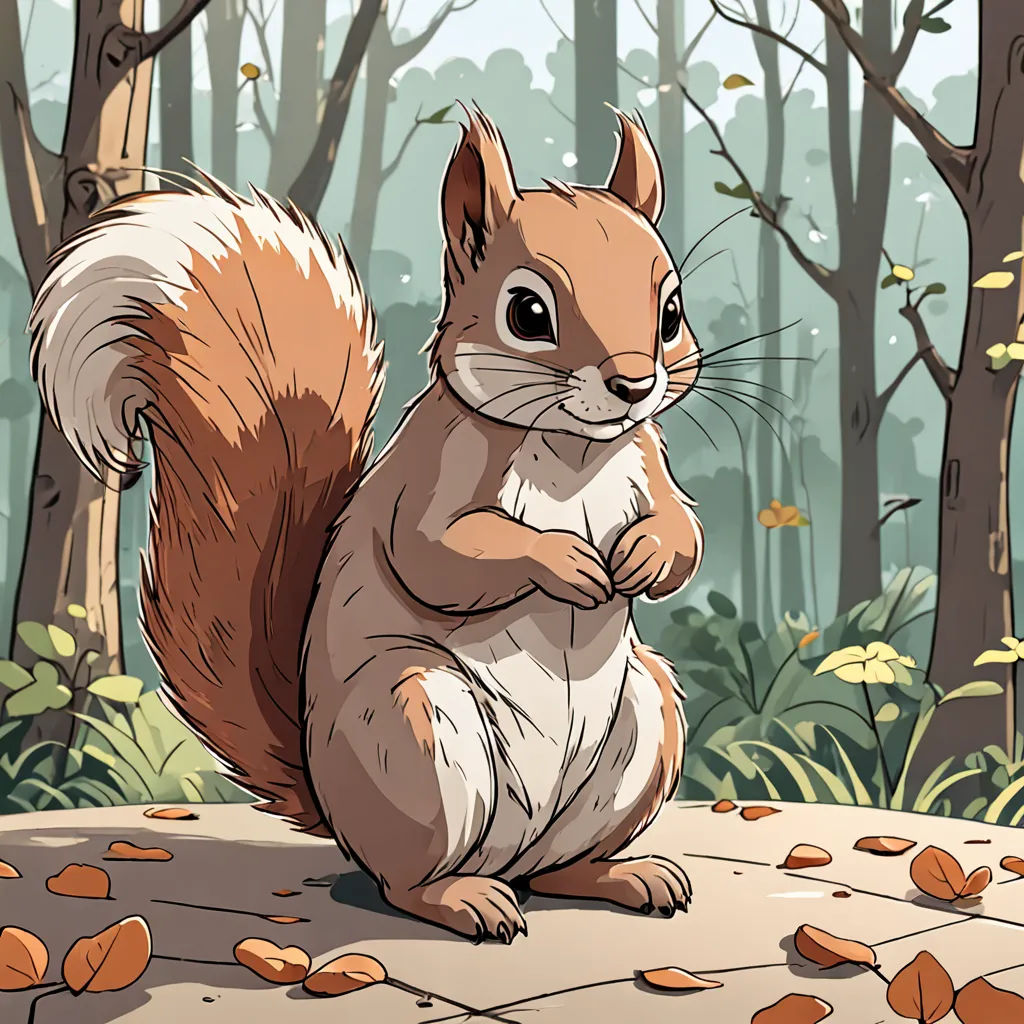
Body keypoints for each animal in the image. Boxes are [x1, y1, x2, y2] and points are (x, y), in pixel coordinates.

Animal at [28, 106, 704, 944]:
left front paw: (643, 556)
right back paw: (464, 900)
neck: (573, 449)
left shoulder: (647, 457)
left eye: (670, 312)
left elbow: (682, 532)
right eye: (527, 313)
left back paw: (622, 874)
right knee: (406, 880)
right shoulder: (432, 476)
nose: (634, 384)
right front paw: (565, 562)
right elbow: (438, 554)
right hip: (412, 729)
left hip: (645, 722)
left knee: (559, 864)